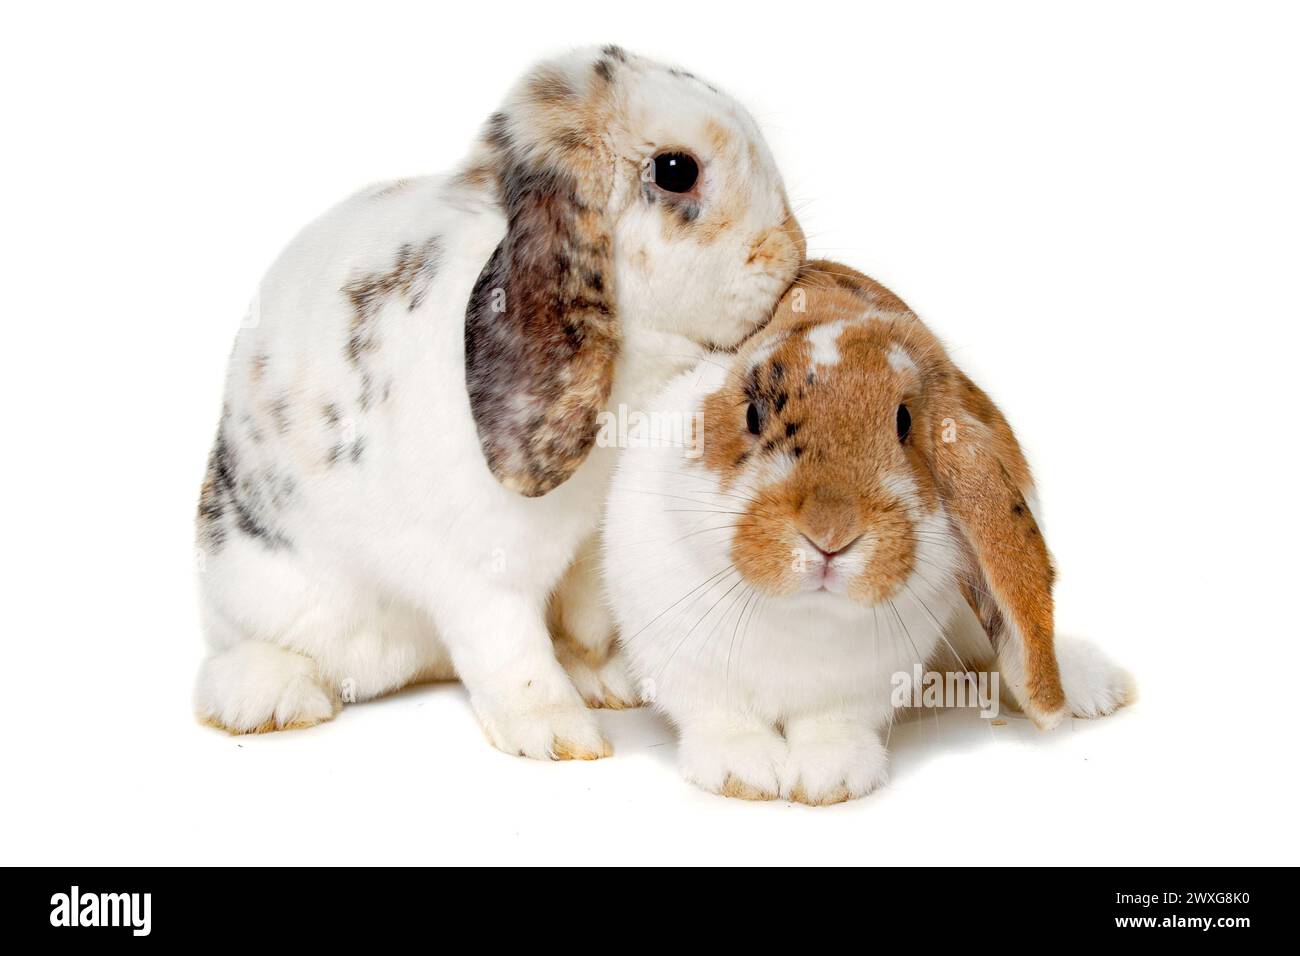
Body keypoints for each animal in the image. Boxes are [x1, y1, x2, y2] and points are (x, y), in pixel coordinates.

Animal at [193, 45, 806, 759]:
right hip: (260, 591)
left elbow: (589, 618)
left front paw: (610, 680)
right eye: (676, 170)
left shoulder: (590, 550)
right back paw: (271, 697)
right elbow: (512, 654)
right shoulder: (484, 576)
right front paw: (561, 734)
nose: (793, 250)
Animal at [601, 261, 1134, 803]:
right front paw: (744, 772)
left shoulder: (863, 686)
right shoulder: (681, 658)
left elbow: (832, 725)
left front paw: (829, 778)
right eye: (752, 414)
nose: (830, 534)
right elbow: (720, 716)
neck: (801, 616)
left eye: (903, 421)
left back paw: (1092, 687)